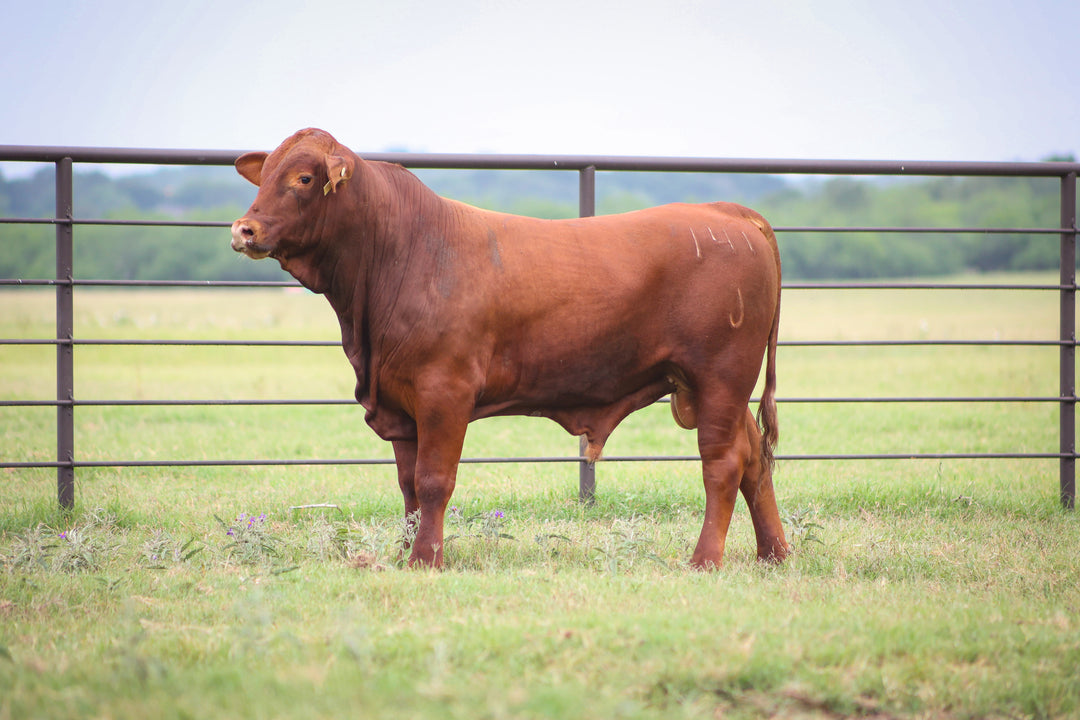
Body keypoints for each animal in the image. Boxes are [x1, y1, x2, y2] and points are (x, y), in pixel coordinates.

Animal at [230, 128, 788, 569]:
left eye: (304, 179)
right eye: (264, 175)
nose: (243, 228)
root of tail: (728, 212)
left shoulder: (444, 391)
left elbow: (433, 480)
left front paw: (425, 560)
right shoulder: (400, 403)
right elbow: (409, 488)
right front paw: (403, 554)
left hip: (721, 374)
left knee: (722, 463)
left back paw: (704, 560)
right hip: (711, 385)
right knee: (753, 458)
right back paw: (774, 554)